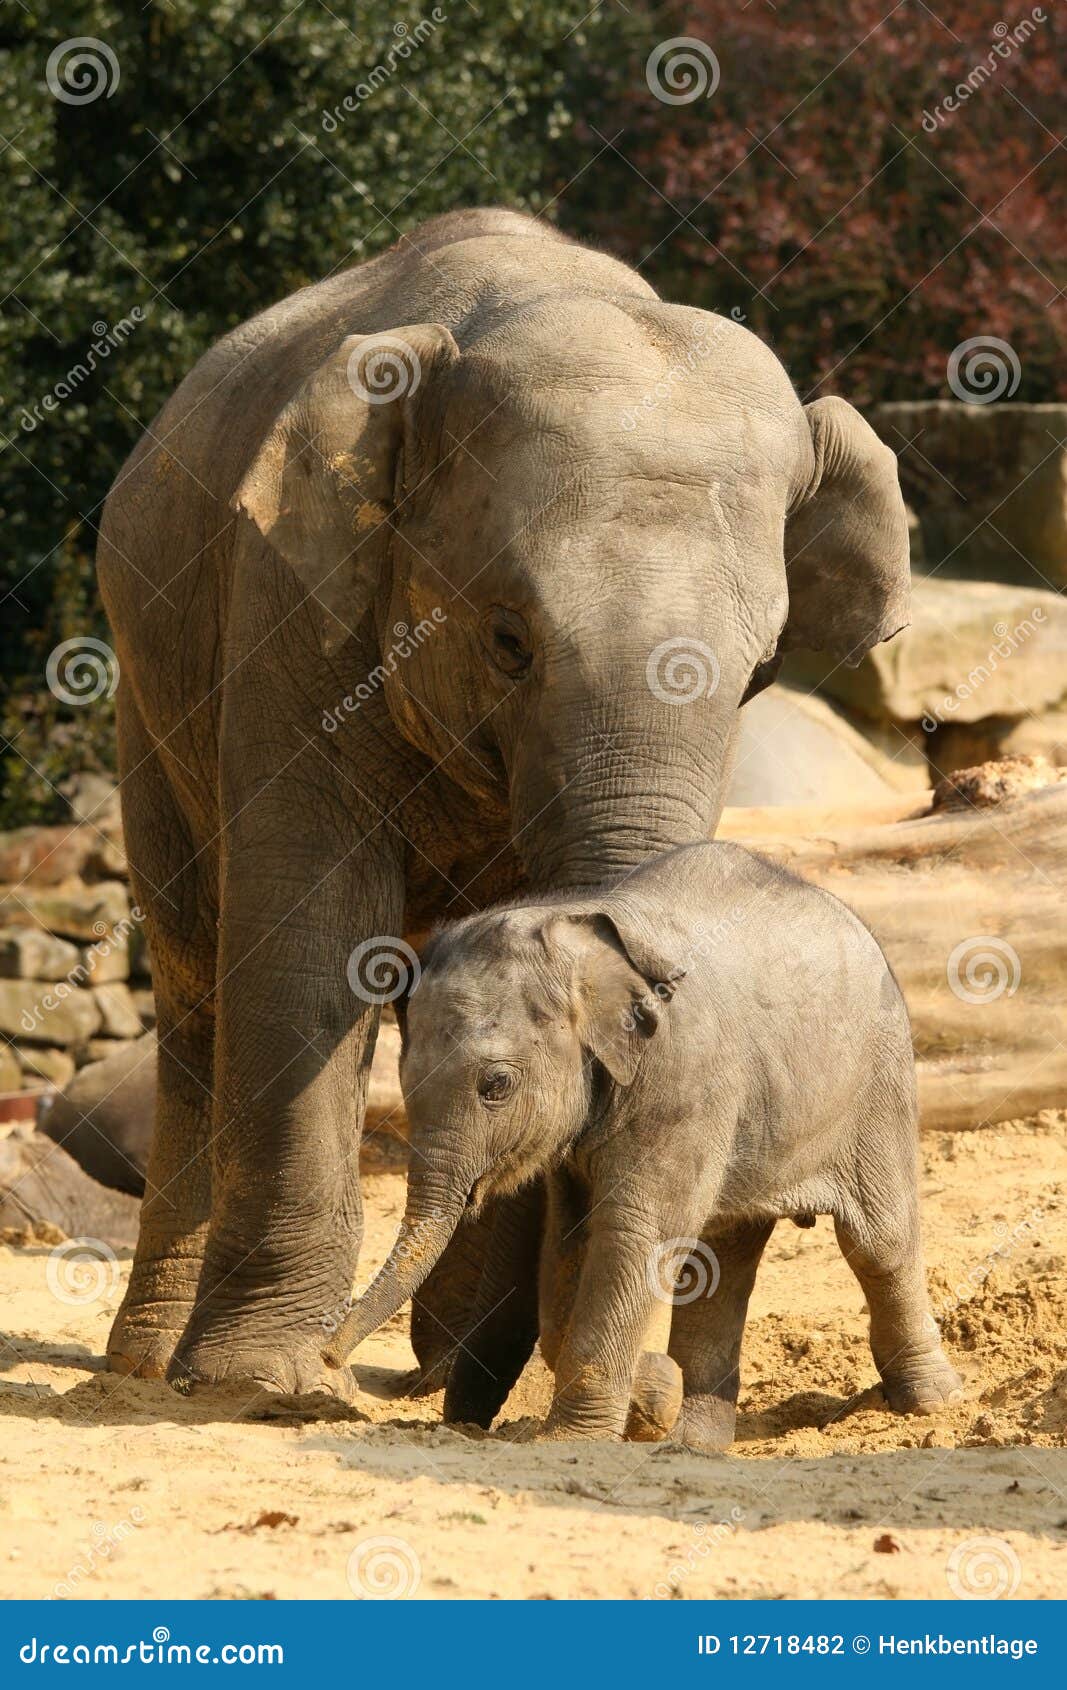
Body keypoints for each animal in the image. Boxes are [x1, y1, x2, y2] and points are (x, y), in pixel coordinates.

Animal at [96, 204, 911, 1407]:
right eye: (508, 640)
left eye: (760, 670)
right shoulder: (289, 608)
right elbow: (308, 942)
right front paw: (261, 1385)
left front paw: (524, 1394)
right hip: (148, 701)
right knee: (197, 970)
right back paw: (157, 1363)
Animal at [324, 842, 963, 1445]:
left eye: (496, 1086)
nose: (329, 1358)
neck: (573, 930)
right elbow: (571, 1243)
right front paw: (652, 1395)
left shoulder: (685, 1078)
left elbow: (635, 1233)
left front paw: (579, 1436)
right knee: (724, 1258)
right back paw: (694, 1441)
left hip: (878, 1081)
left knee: (879, 1242)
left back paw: (930, 1403)